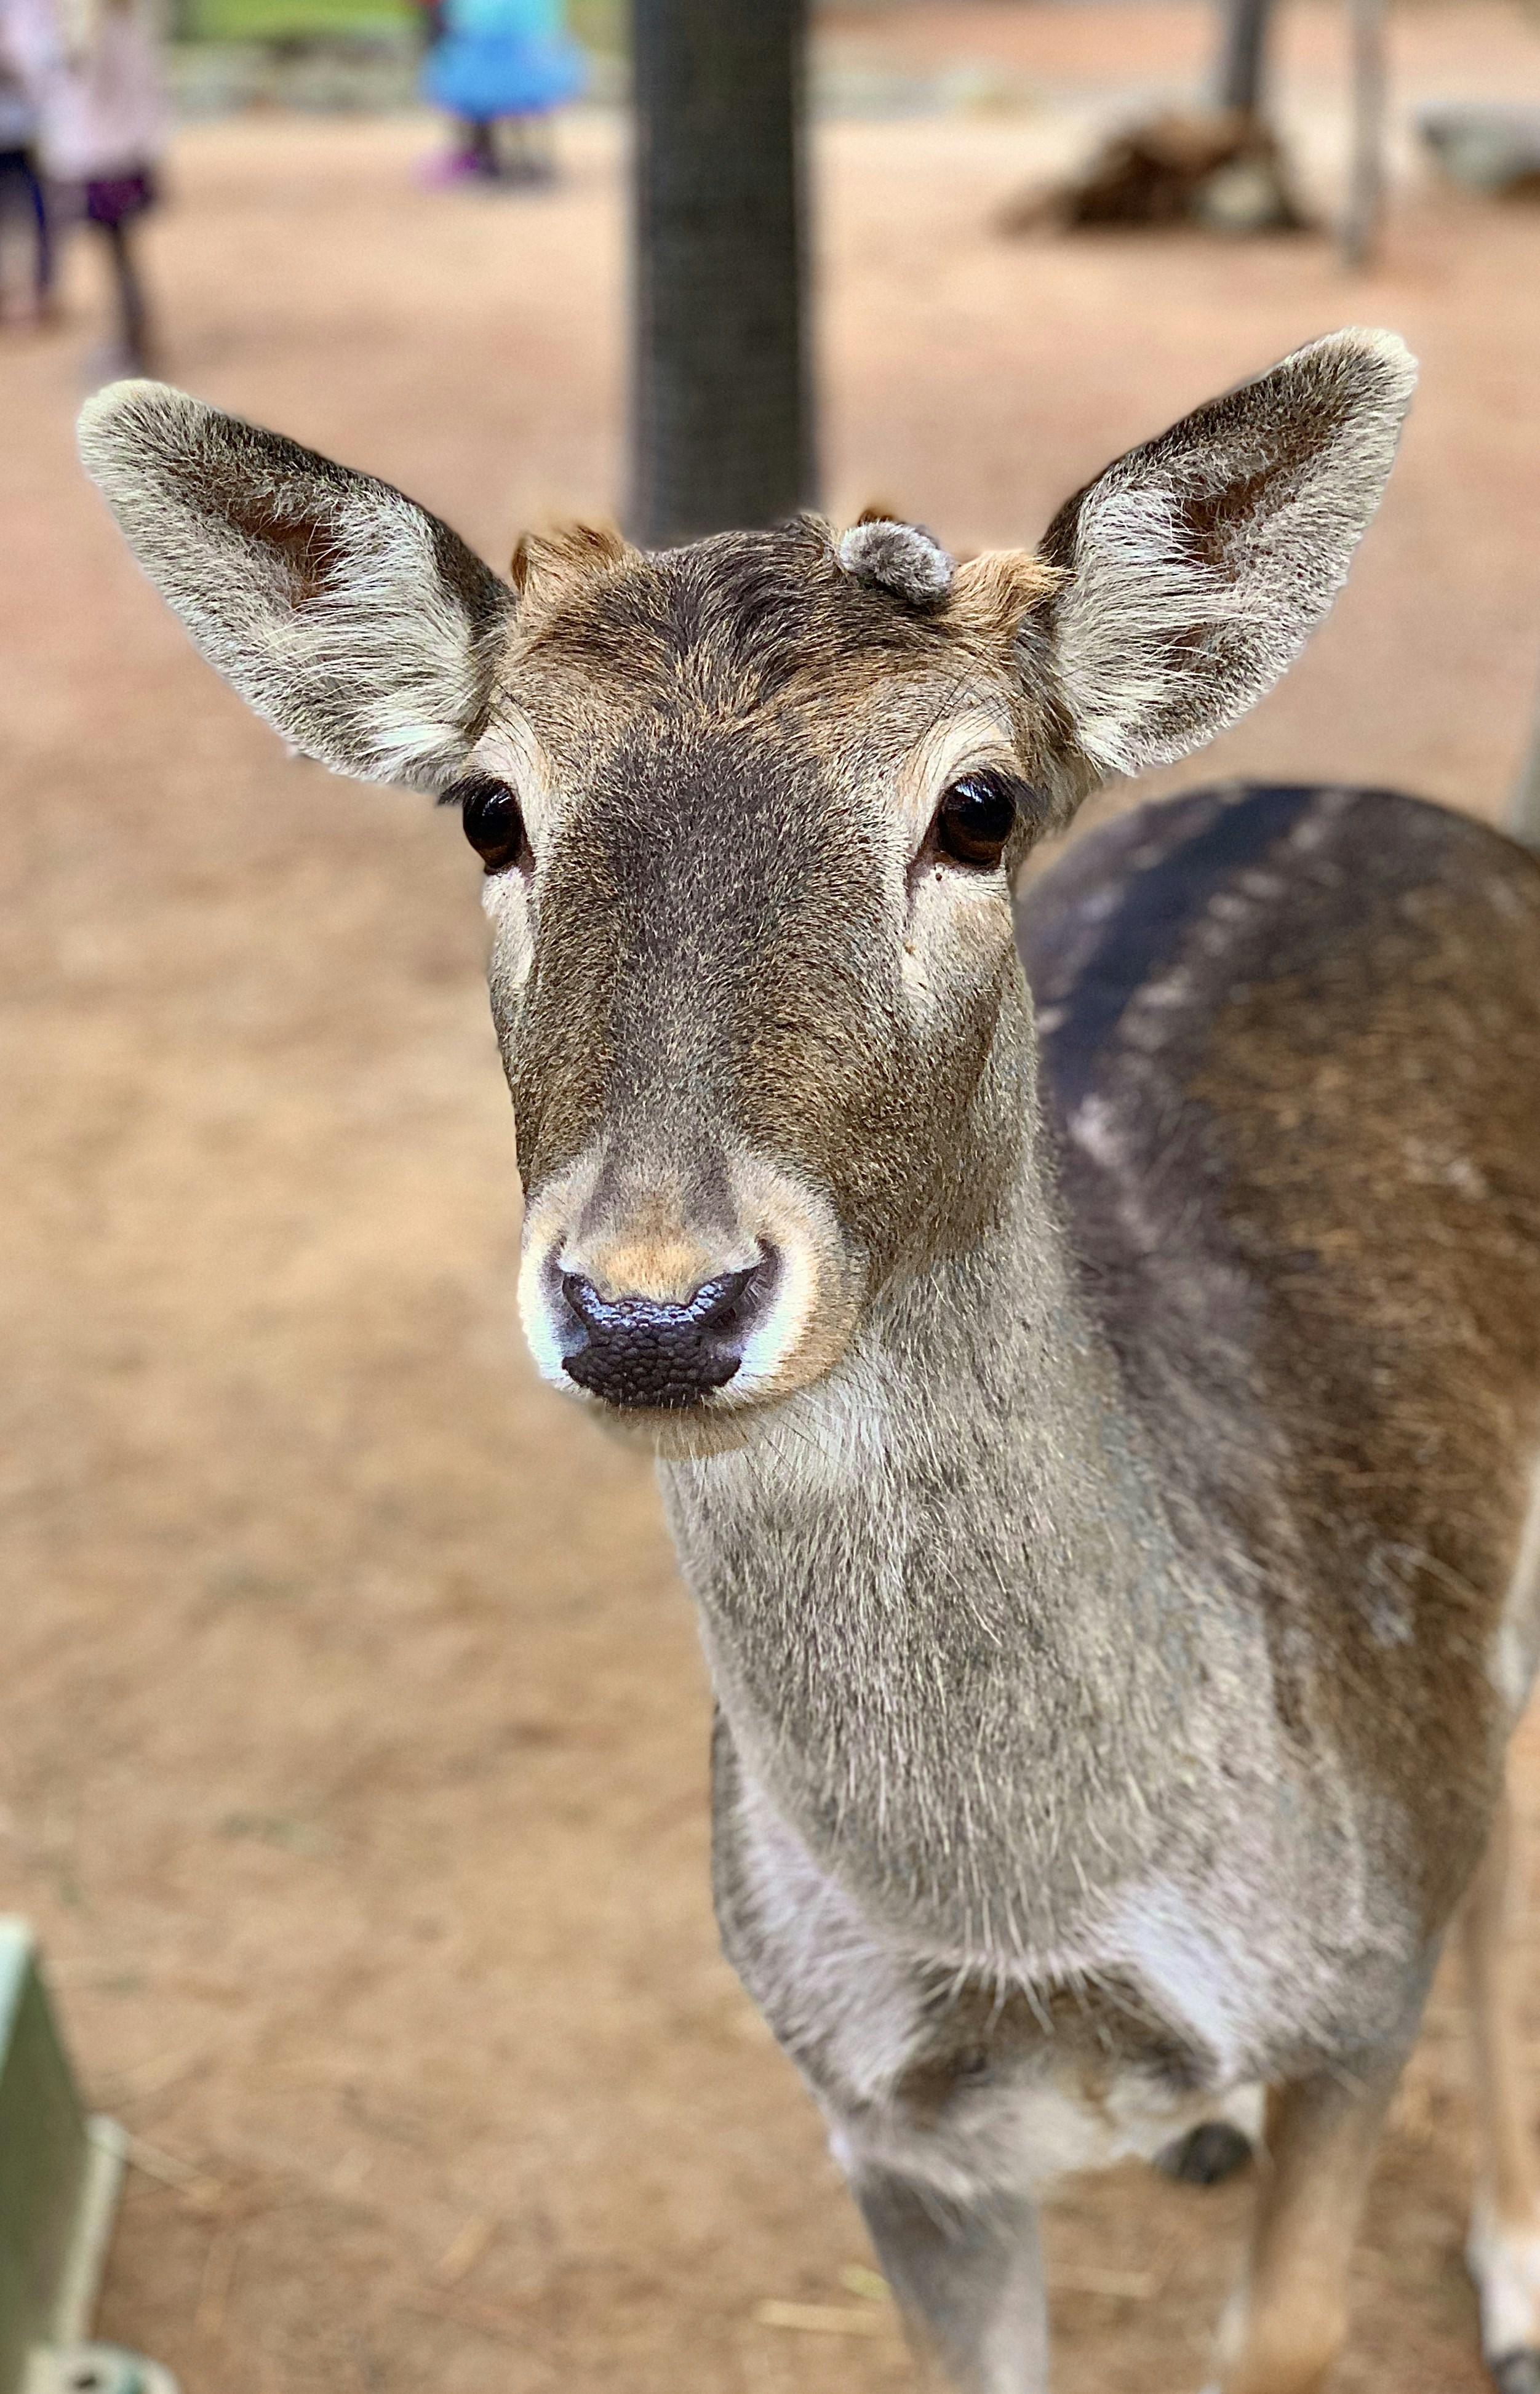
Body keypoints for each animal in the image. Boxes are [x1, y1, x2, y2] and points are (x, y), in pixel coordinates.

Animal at [79, 327, 1540, 2394]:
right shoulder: (876, 2117)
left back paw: (1510, 2269)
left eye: (980, 803)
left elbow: (1293, 2323)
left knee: (1508, 1826)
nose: (653, 1305)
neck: (1040, 1930)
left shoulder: (1357, 1985)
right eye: (487, 810)